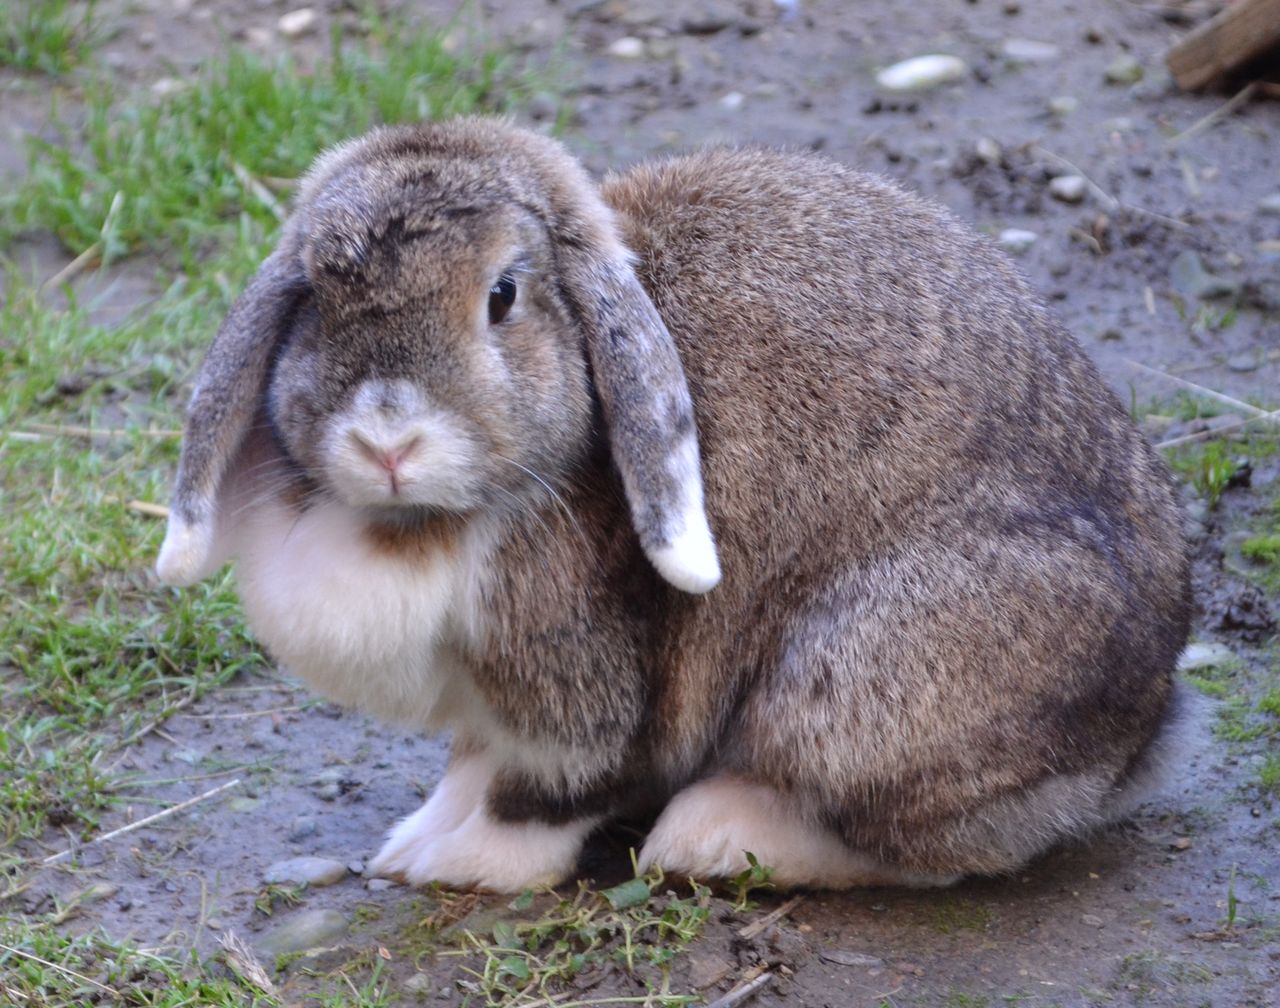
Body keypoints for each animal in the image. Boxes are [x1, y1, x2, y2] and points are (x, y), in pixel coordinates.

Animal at [156, 117, 1191, 893]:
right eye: (316, 299)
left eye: (503, 295)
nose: (387, 441)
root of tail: (1142, 733)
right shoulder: (484, 710)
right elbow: (469, 765)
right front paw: (414, 841)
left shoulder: (578, 688)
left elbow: (545, 791)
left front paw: (464, 865)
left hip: (862, 681)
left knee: (907, 842)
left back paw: (711, 836)